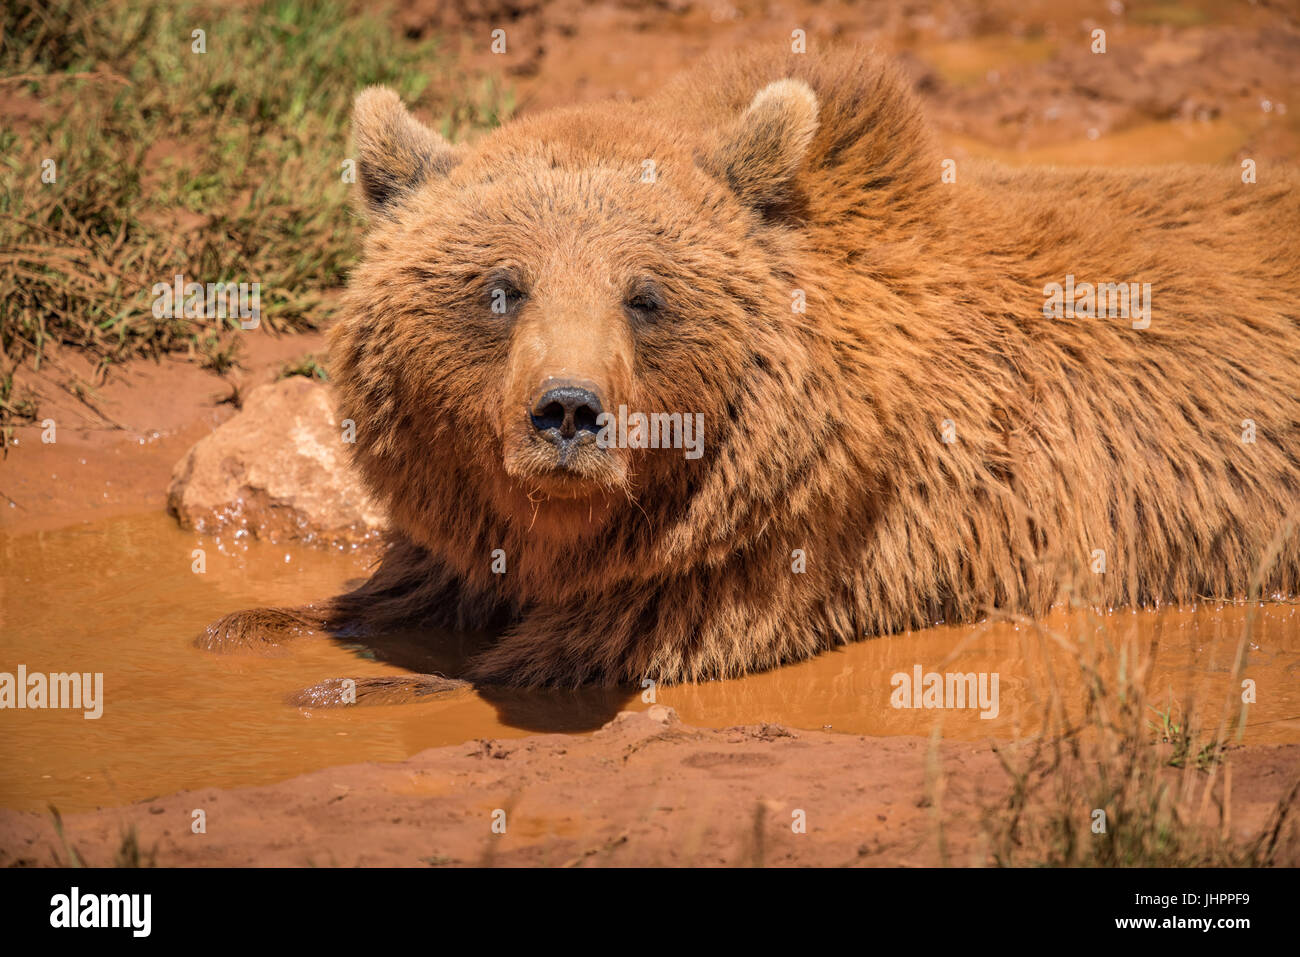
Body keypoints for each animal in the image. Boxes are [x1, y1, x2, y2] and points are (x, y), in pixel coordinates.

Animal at [200, 47, 1300, 688]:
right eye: (502, 288)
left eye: (644, 295)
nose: (568, 413)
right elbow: (392, 593)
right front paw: (250, 627)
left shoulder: (796, 561)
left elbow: (551, 654)